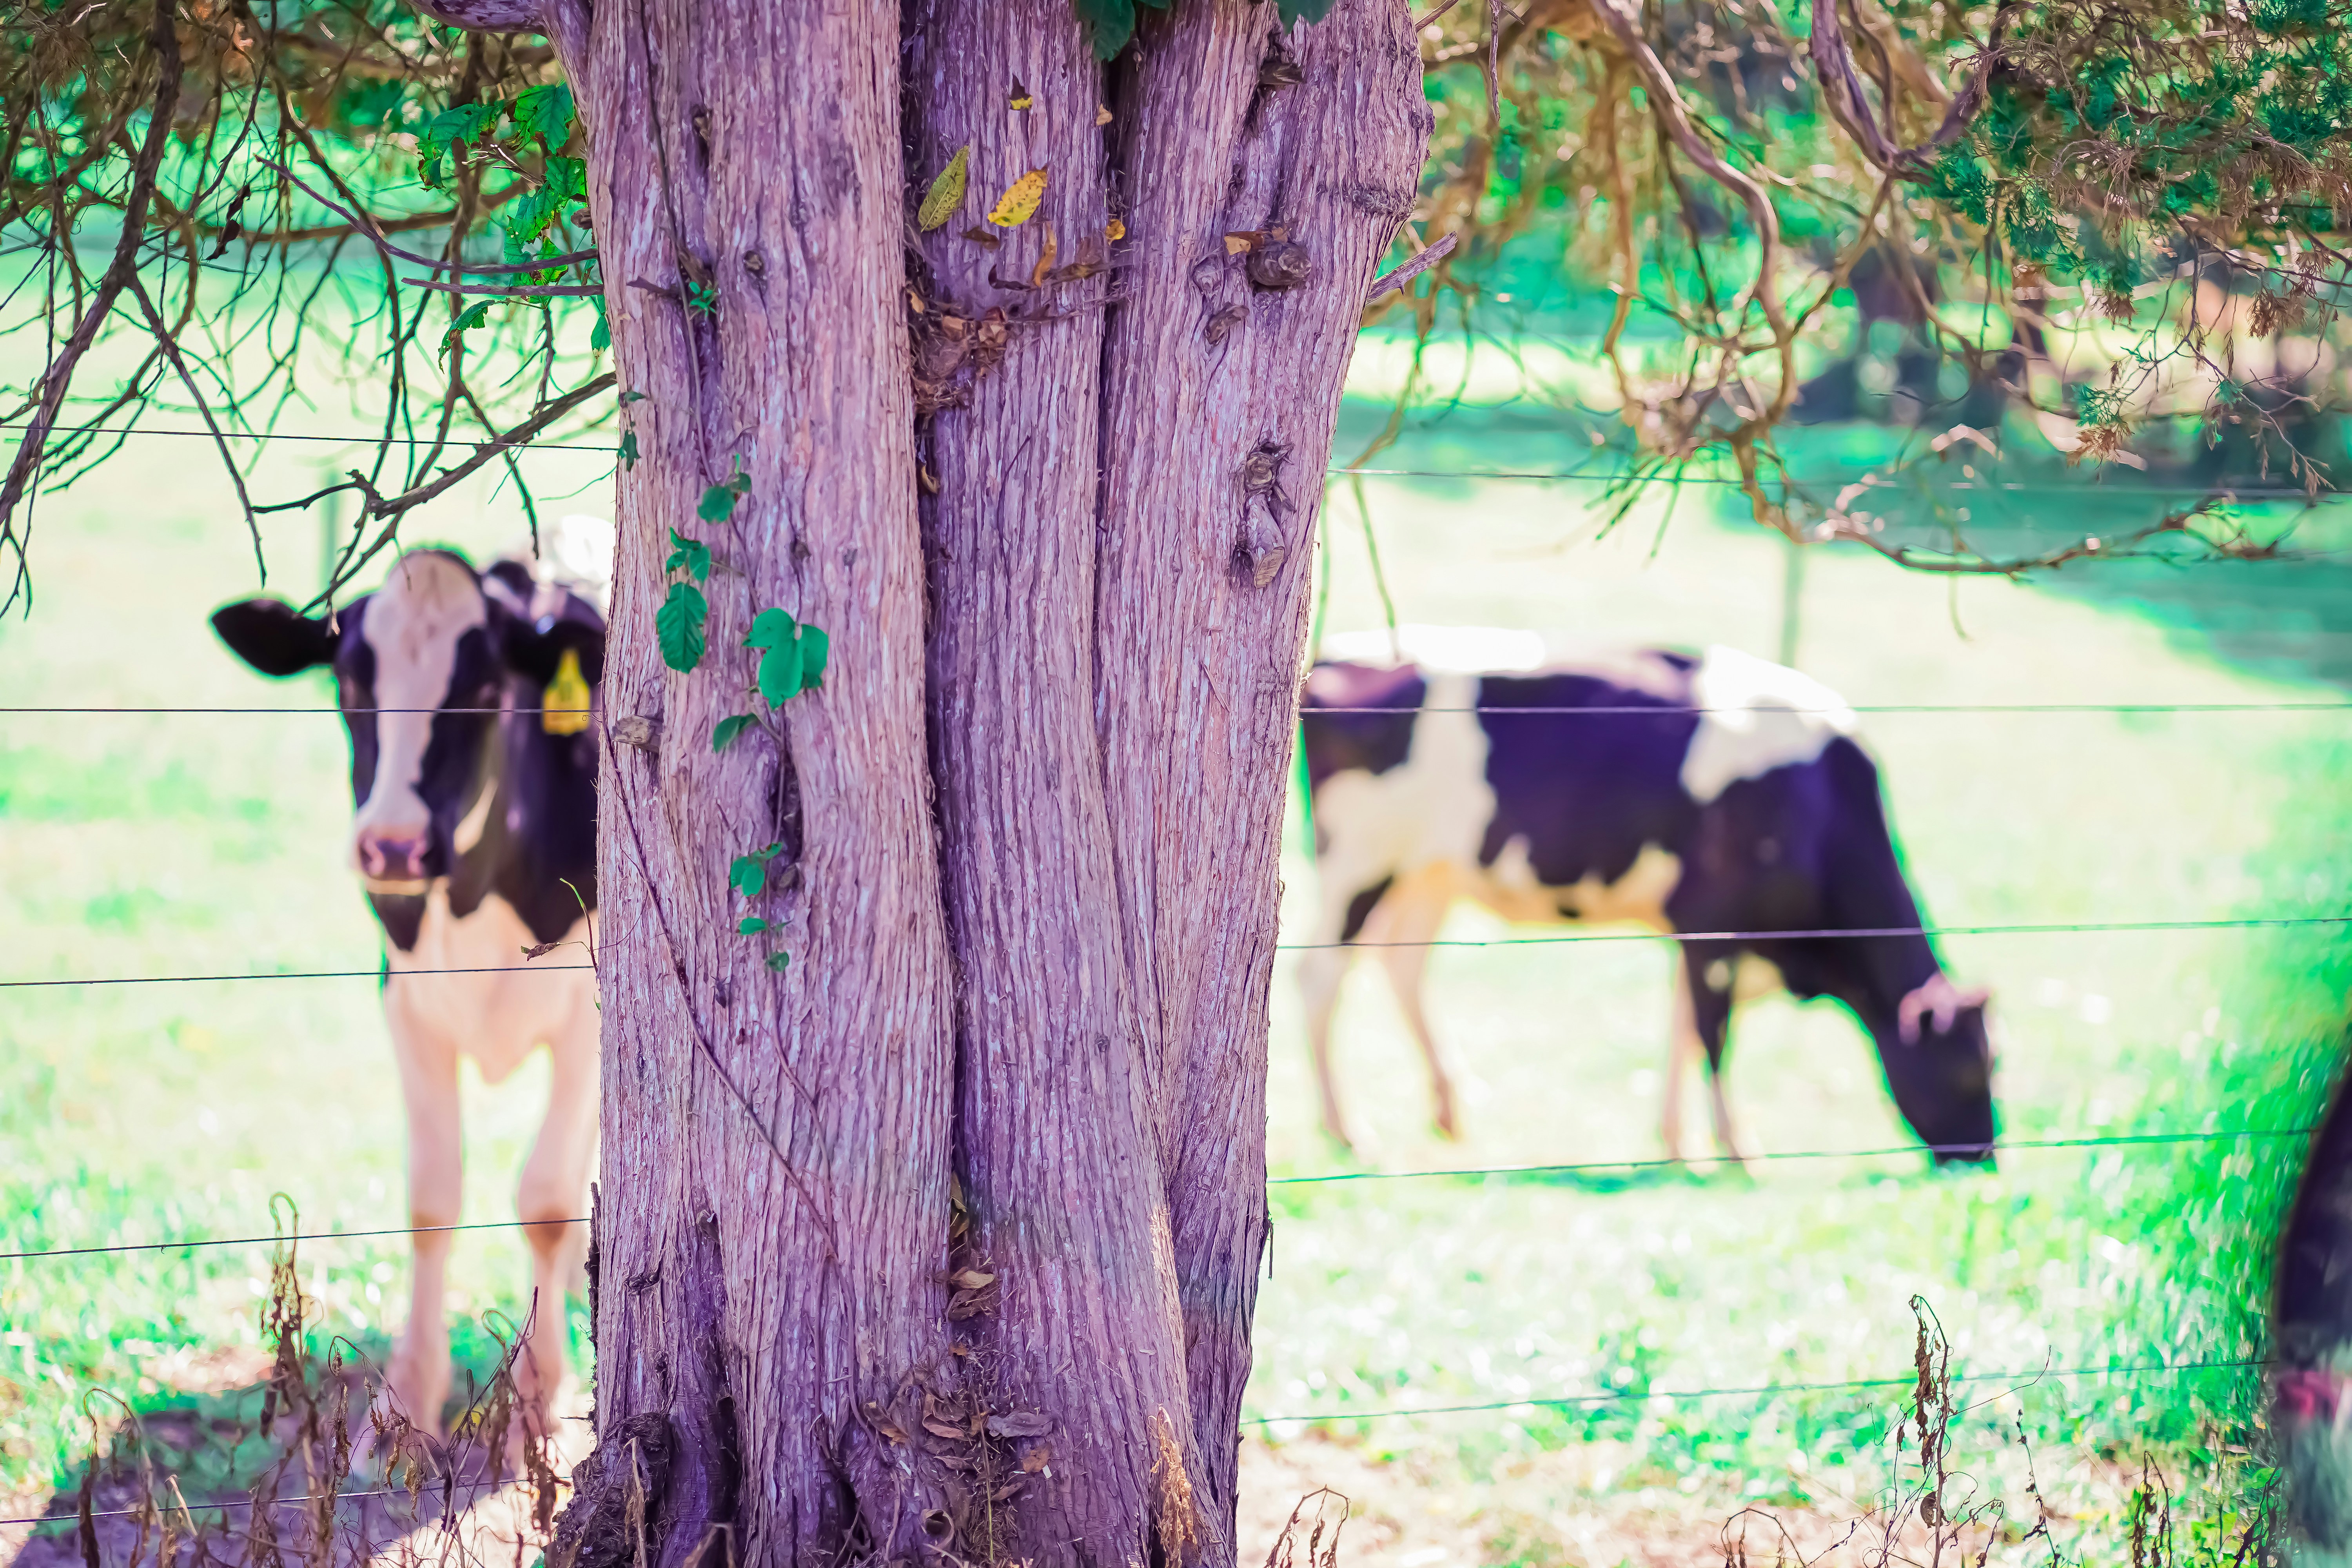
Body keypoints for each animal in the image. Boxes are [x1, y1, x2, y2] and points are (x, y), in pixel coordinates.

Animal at [208, 522, 609, 1451]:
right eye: (351, 680)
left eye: (489, 686)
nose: (393, 846)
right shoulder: (405, 998)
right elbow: (431, 1197)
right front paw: (405, 1406)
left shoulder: (591, 1018)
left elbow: (547, 1199)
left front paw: (540, 1412)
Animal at [1297, 632, 1996, 1166]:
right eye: (1967, 1071)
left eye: (1997, 1064)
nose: (1984, 1157)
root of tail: (1339, 655)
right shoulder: (1711, 923)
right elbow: (1714, 1035)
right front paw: (1738, 1149)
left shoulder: (1699, 933)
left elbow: (1684, 1026)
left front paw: (1679, 1141)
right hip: (1359, 861)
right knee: (1322, 977)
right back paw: (1347, 1130)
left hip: (1428, 873)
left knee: (1401, 965)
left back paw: (1448, 1108)